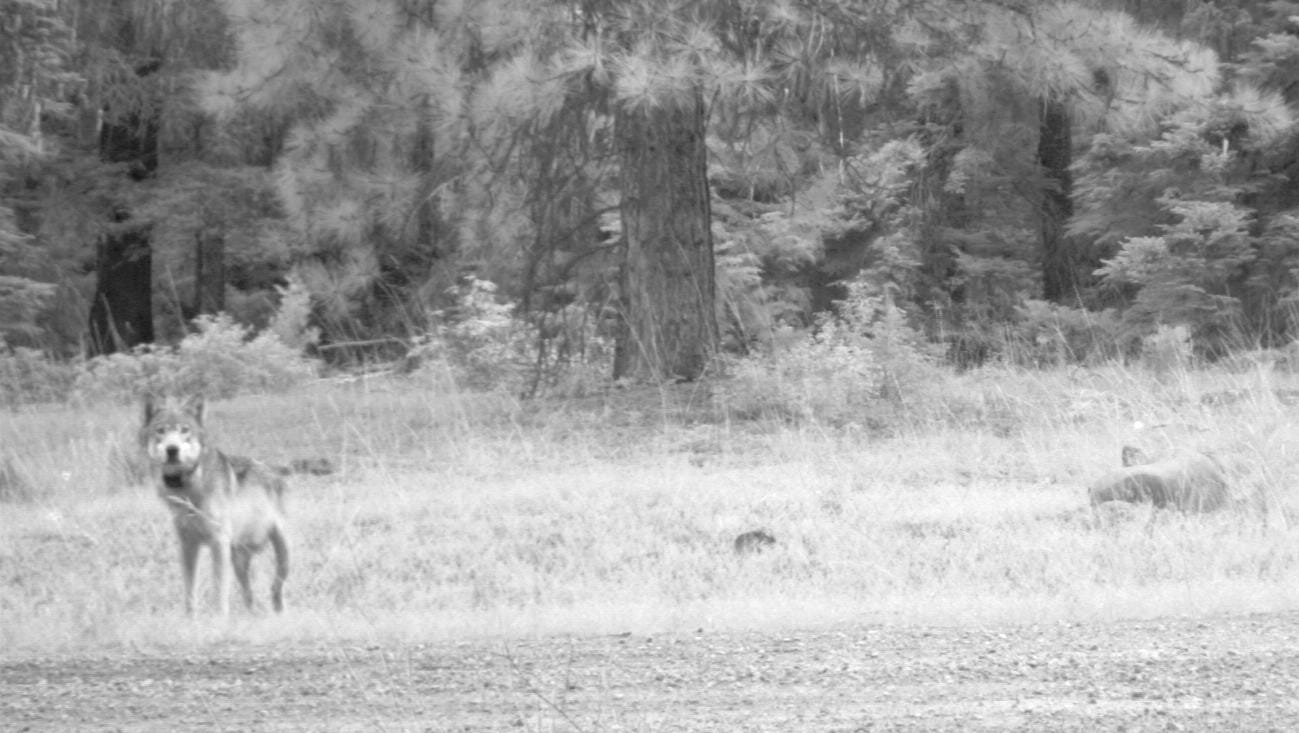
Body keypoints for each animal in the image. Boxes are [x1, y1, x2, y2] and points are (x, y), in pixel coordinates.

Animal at [141, 395, 289, 616]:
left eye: (184, 430)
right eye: (161, 430)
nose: (172, 449)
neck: (188, 489)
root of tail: (274, 471)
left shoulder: (218, 542)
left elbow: (219, 592)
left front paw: (218, 620)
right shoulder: (187, 545)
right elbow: (189, 592)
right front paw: (190, 620)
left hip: (281, 552)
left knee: (276, 588)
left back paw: (278, 613)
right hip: (238, 561)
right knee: (249, 595)